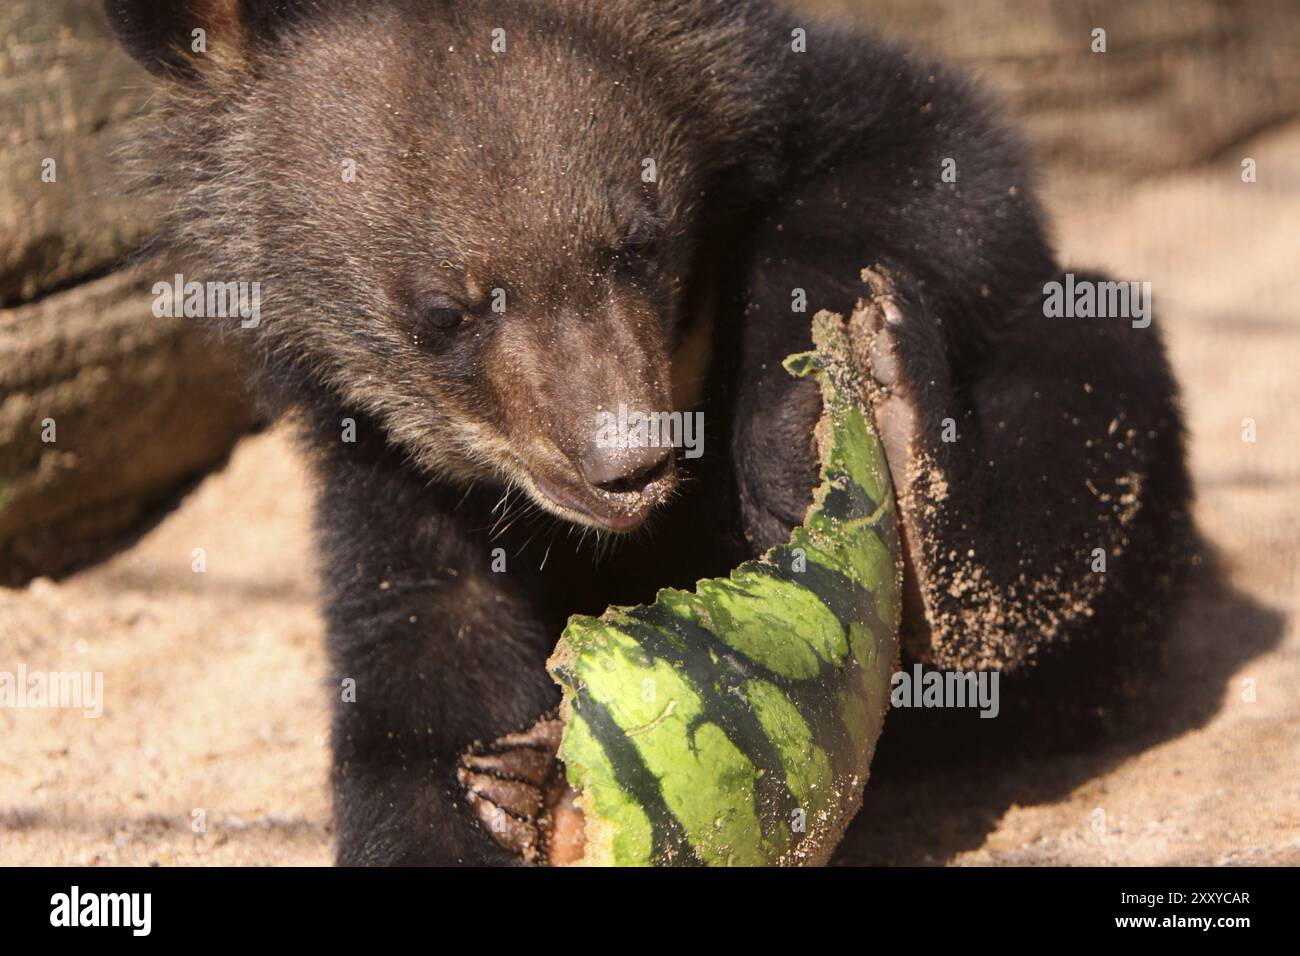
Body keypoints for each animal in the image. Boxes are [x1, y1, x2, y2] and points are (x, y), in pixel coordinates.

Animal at [102, 0, 1190, 864]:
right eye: (445, 312)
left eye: (638, 242)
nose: (629, 465)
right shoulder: (383, 472)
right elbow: (418, 661)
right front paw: (499, 788)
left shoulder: (786, 91)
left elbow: (936, 157)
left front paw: (790, 433)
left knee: (1088, 382)